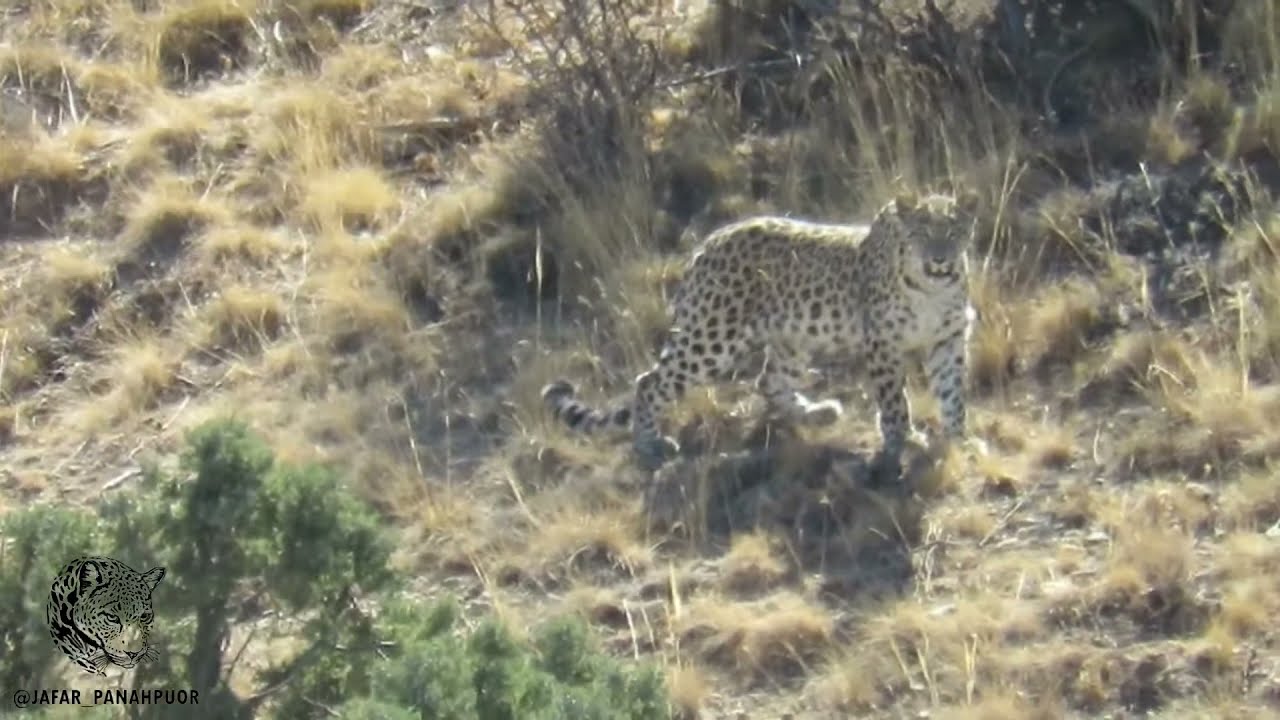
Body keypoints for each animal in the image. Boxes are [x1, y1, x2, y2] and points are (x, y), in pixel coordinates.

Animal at [541, 190, 983, 482]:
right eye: (922, 232)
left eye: (954, 232)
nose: (939, 258)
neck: (931, 289)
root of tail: (705, 247)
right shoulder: (884, 345)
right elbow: (894, 404)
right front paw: (898, 448)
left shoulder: (948, 341)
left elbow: (953, 396)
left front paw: (959, 442)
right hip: (713, 335)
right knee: (650, 381)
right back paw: (649, 447)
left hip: (790, 337)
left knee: (767, 380)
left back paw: (816, 412)